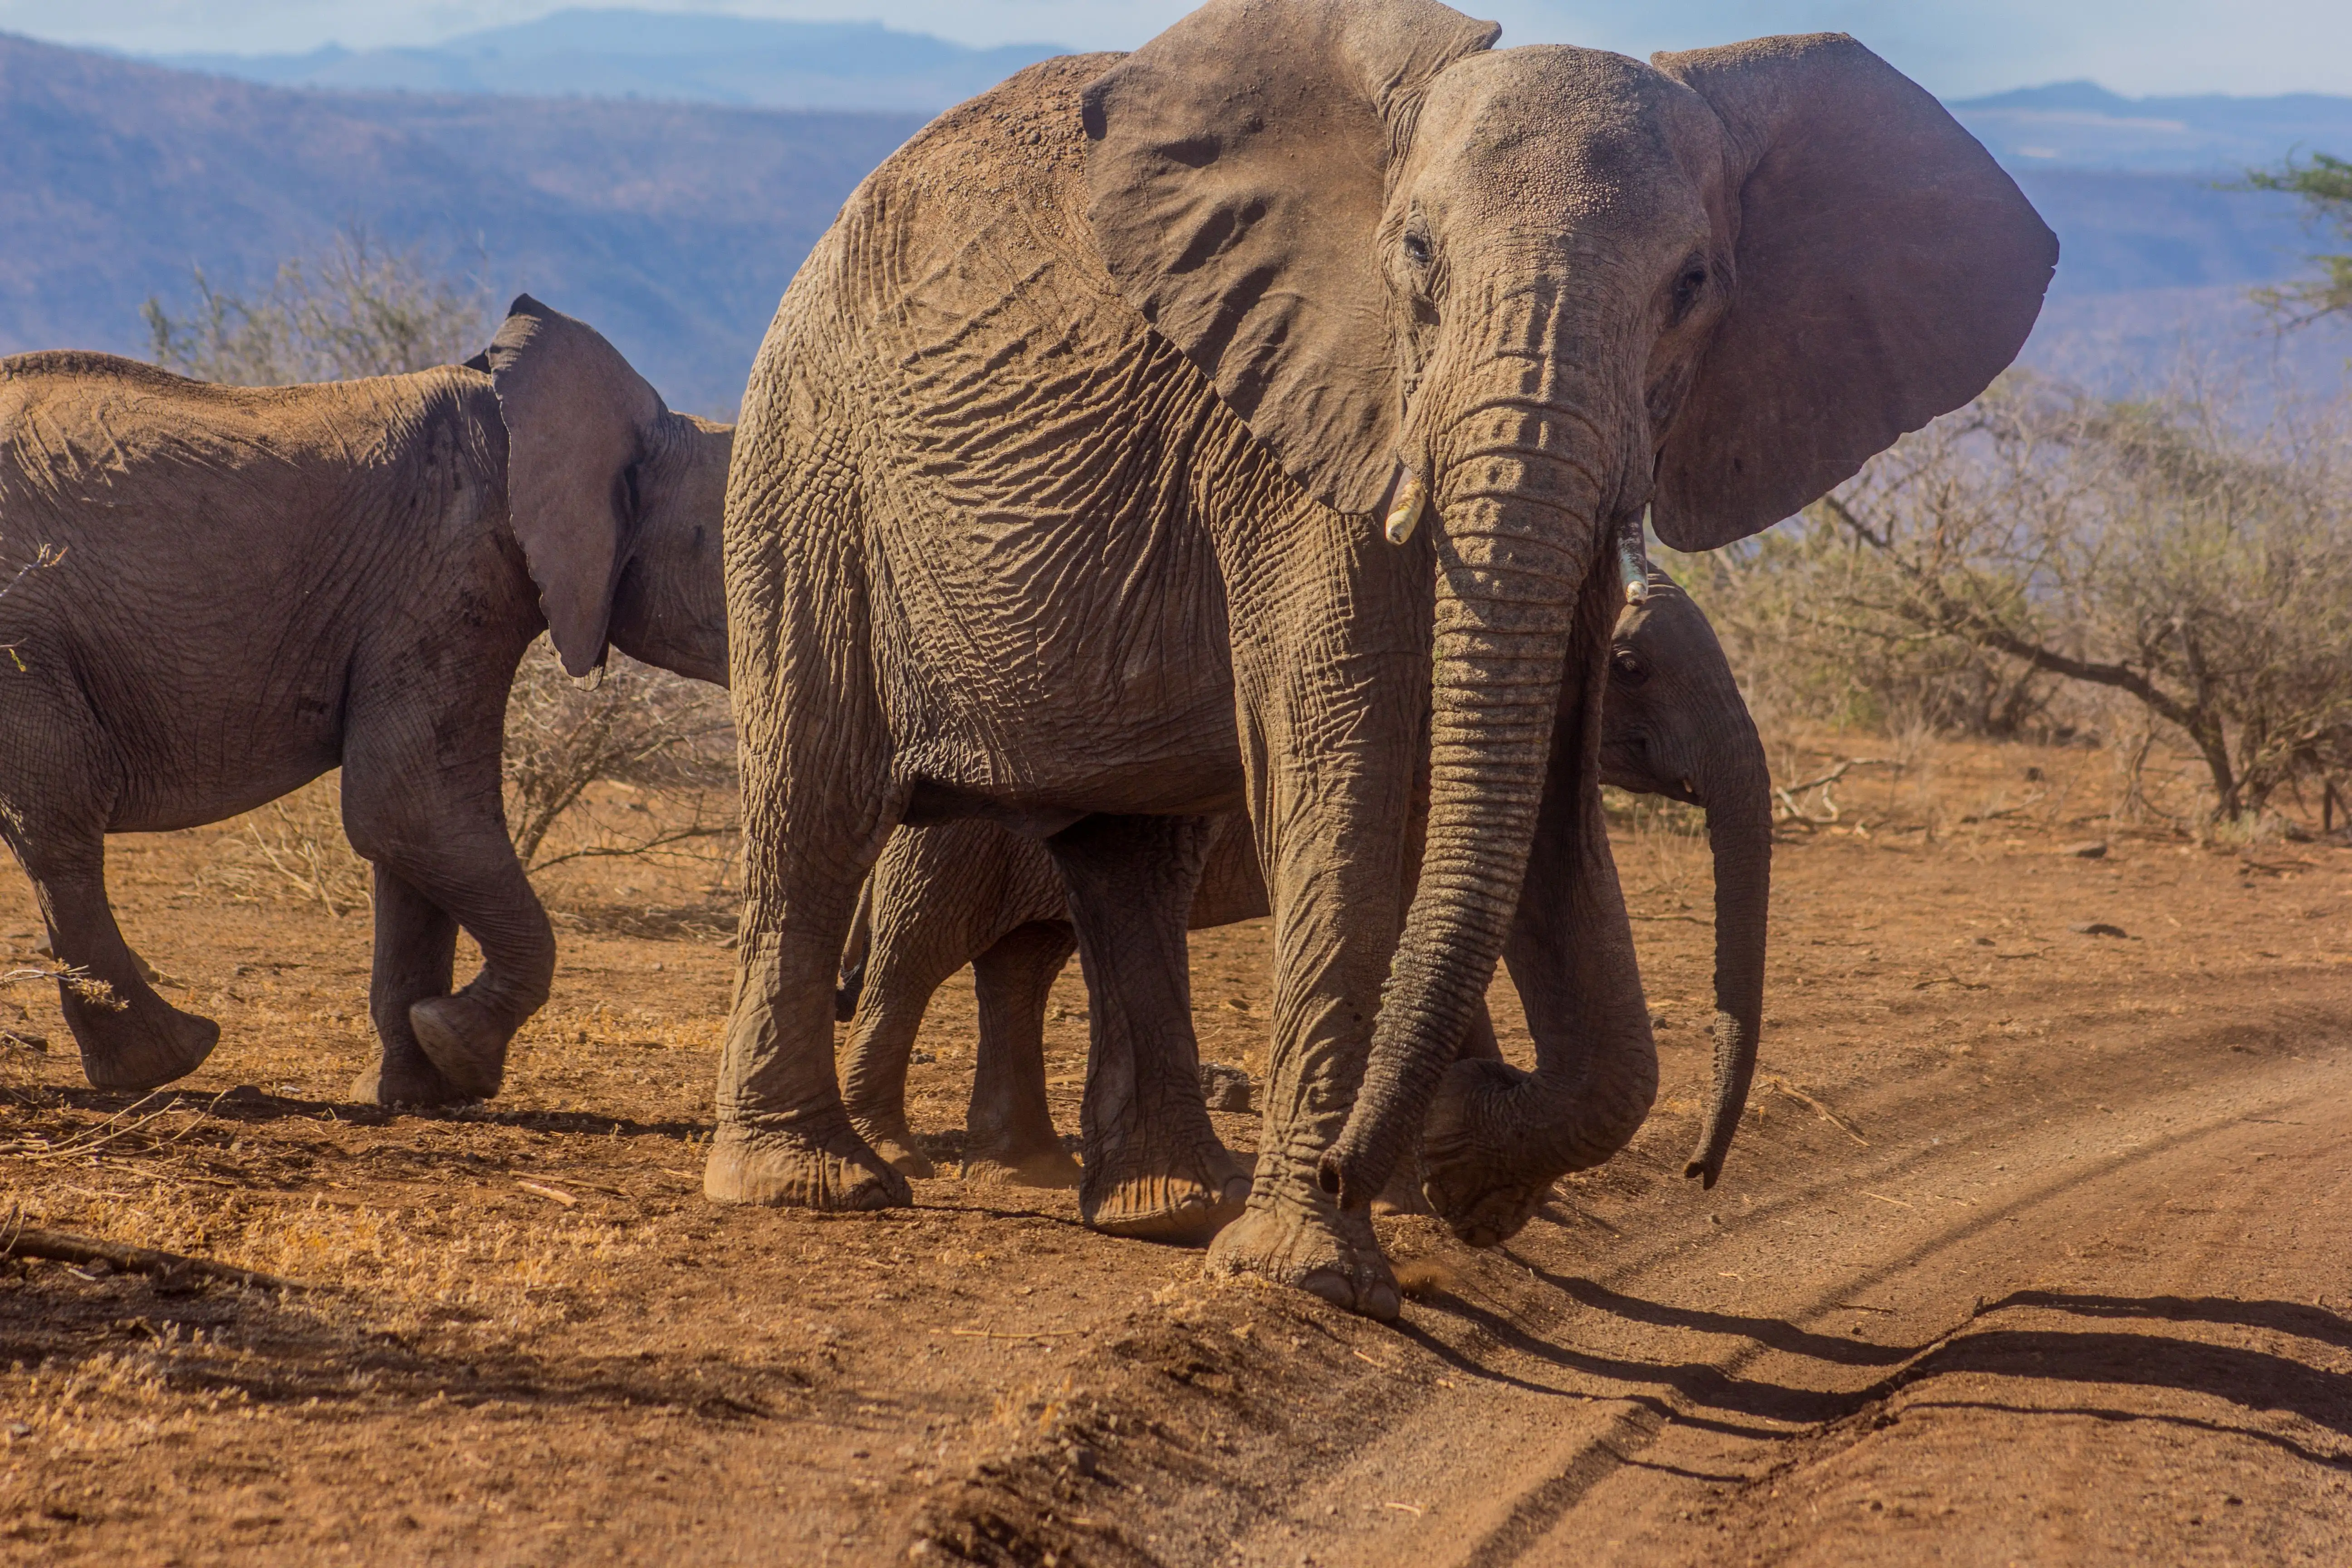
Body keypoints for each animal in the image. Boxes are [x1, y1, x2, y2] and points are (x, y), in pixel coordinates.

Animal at [0, 296, 729, 1105]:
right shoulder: (448, 570)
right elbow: (412, 807)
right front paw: (458, 1048)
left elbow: (411, 839)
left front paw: (410, 1090)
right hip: (24, 626)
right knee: (60, 818)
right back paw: (167, 1060)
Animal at [833, 570, 1771, 1205]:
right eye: (1630, 666)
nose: (1698, 1172)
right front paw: (1421, 1183)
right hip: (953, 842)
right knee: (917, 957)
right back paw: (904, 1157)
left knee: (1022, 961)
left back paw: (1032, 1169)